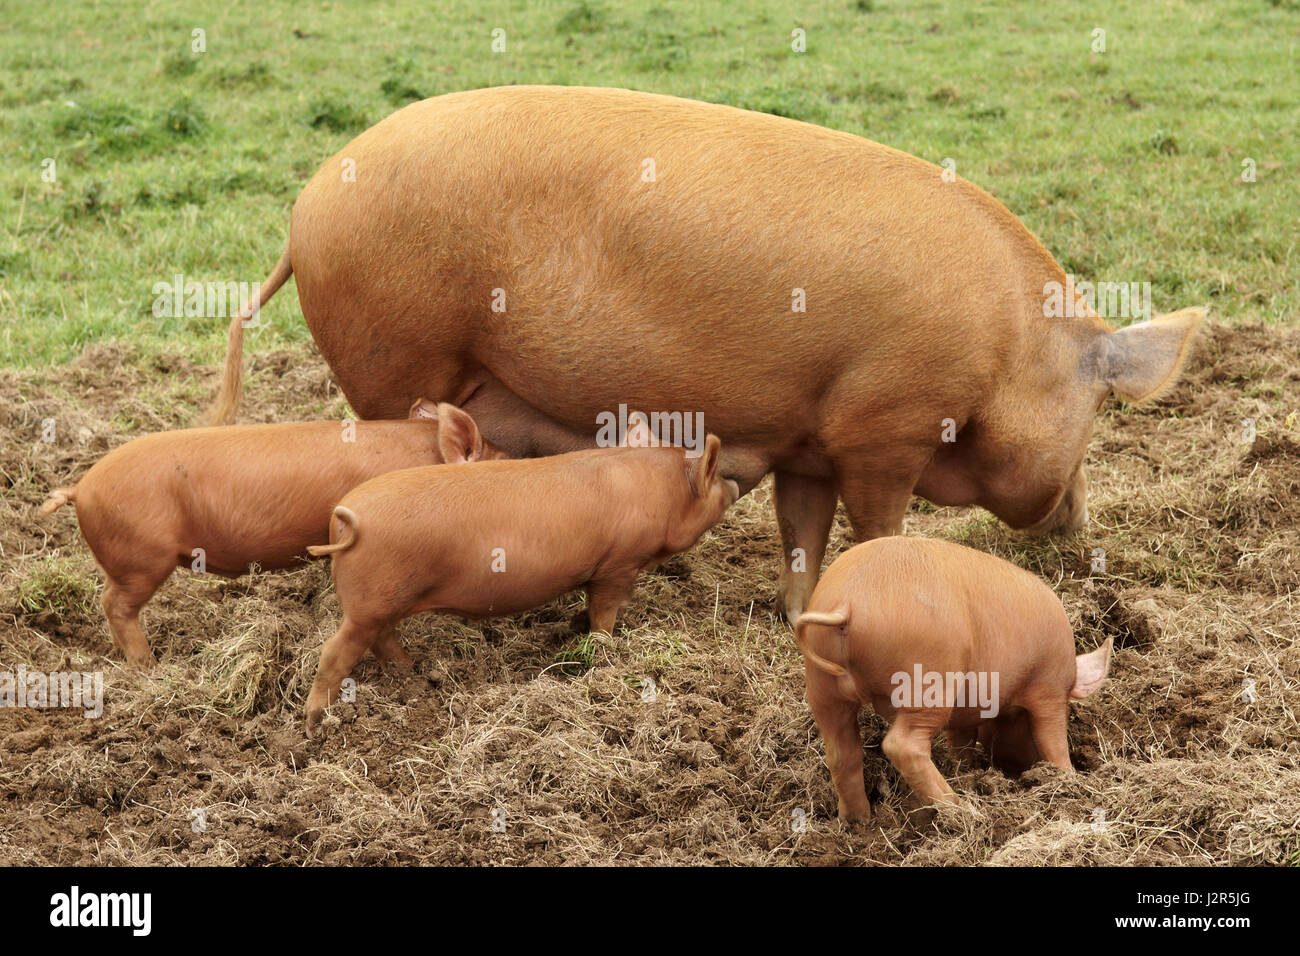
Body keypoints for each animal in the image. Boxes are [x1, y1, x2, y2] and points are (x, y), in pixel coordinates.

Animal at [204, 85, 1202, 624]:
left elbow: (802, 538)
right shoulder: (887, 425)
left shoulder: (810, 441)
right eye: (1100, 414)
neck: (1006, 355)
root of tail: (304, 210)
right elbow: (879, 527)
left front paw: (800, 619)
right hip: (394, 354)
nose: (1080, 527)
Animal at [301, 418, 739, 734]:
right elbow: (605, 611)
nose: (734, 483)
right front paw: (604, 648)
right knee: (335, 652)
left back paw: (415, 673)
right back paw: (316, 724)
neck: (659, 493)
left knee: (381, 641)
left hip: (381, 603)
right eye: (715, 476)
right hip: (369, 604)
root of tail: (344, 519)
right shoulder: (619, 564)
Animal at [794, 536, 1112, 821]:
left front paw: (967, 770)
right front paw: (1069, 776)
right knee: (902, 745)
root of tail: (847, 603)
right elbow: (1051, 736)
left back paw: (857, 822)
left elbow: (962, 742)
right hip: (926, 678)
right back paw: (960, 809)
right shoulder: (1049, 685)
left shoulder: (967, 707)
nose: (1016, 770)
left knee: (841, 752)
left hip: (822, 687)